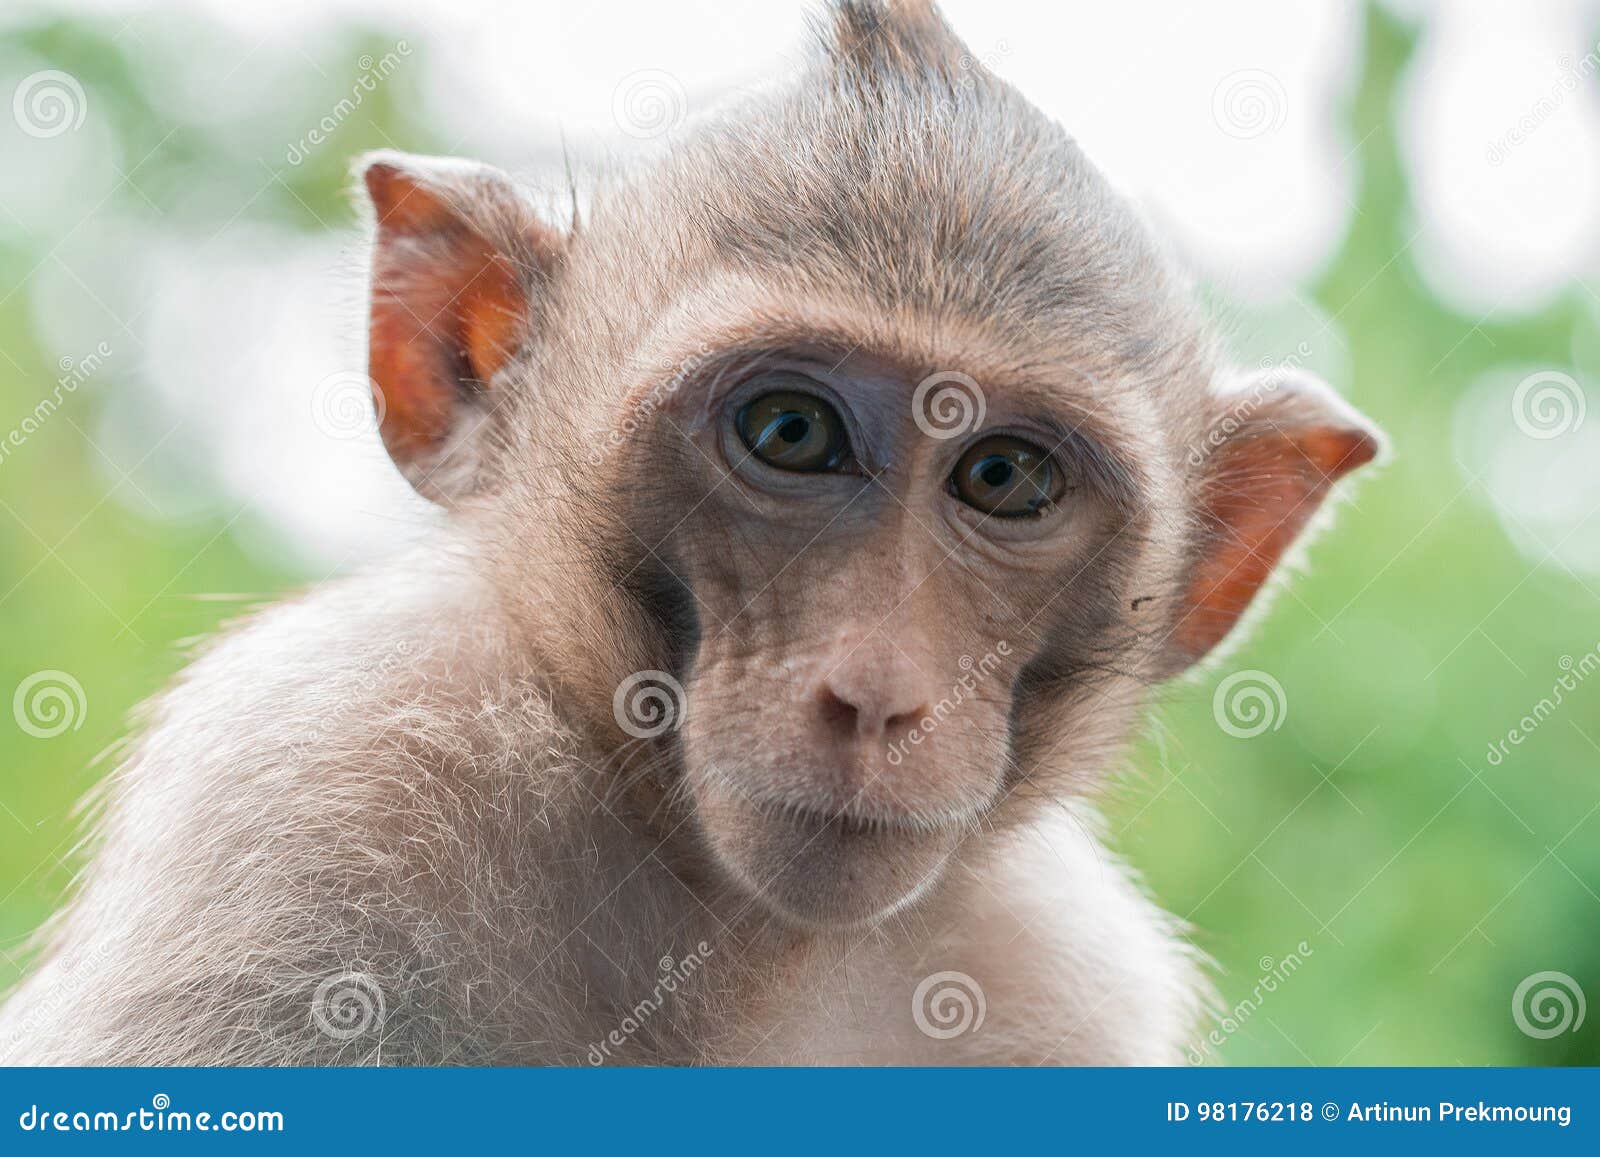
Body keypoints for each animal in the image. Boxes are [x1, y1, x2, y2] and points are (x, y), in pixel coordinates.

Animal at [0, 0, 1383, 1065]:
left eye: (1002, 476)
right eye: (789, 431)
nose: (879, 692)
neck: (727, 932)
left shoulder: (1055, 982)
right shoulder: (304, 794)